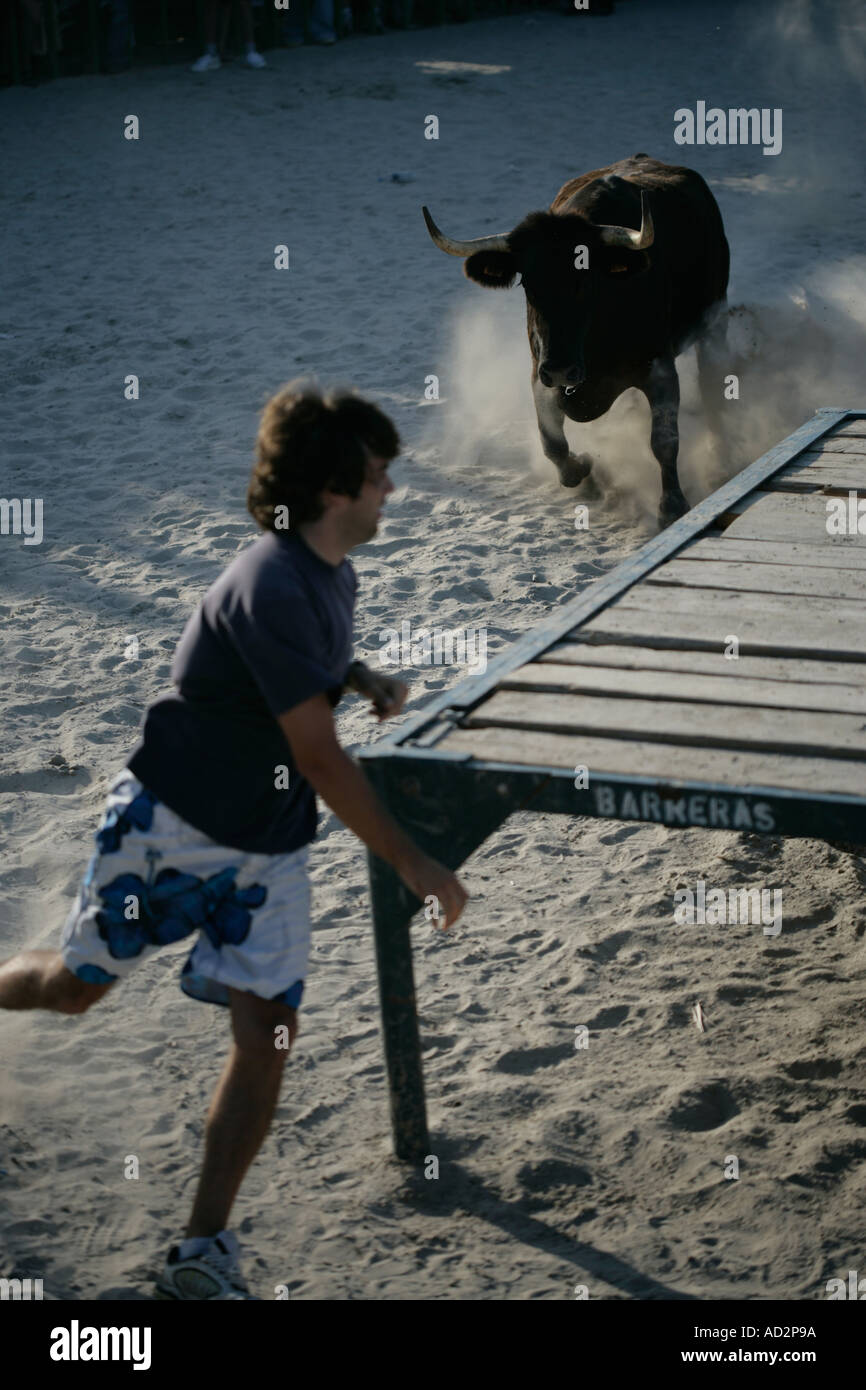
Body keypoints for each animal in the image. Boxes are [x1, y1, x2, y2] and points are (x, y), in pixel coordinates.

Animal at [422, 154, 730, 528]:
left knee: (713, 379)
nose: (560, 369)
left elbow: (664, 440)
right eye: (528, 284)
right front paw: (586, 472)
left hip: (714, 317)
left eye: (585, 282)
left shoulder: (660, 368)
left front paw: (672, 505)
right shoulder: (539, 372)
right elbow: (552, 442)